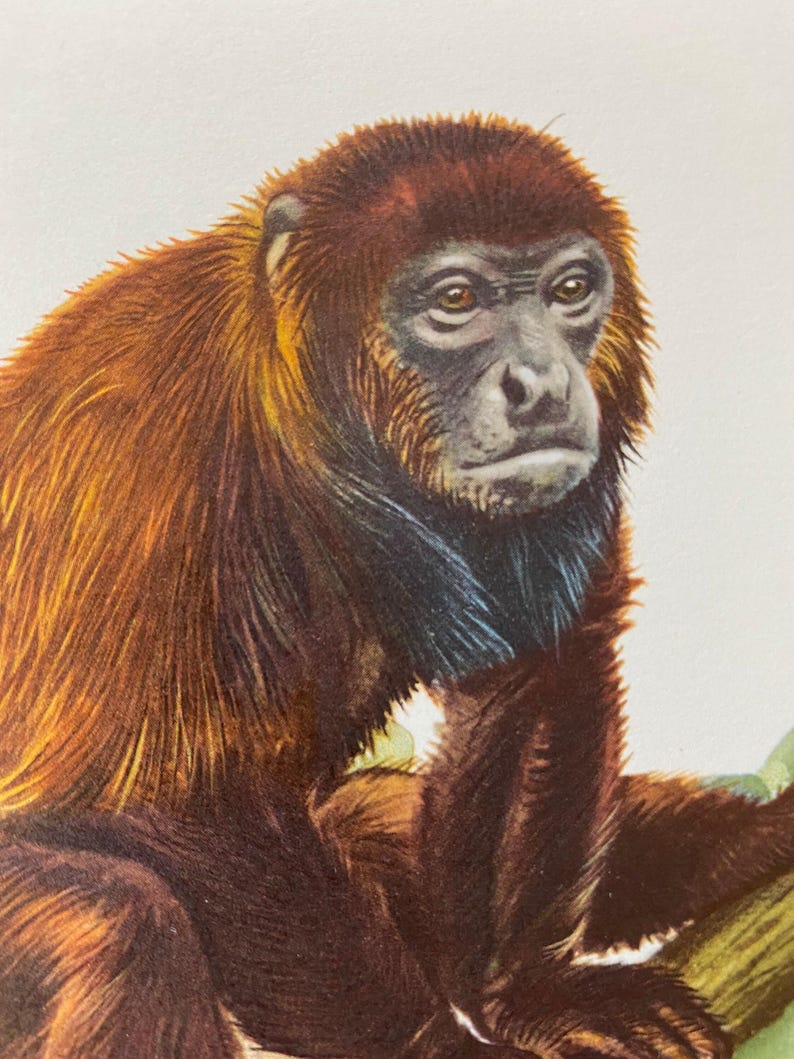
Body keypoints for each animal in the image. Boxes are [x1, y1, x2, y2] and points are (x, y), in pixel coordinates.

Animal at [0, 116, 792, 1059]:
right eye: (455, 300)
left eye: (569, 289)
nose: (540, 384)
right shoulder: (156, 445)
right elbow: (178, 790)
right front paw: (438, 1044)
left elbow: (537, 675)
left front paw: (540, 992)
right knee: (119, 930)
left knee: (373, 818)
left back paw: (728, 844)